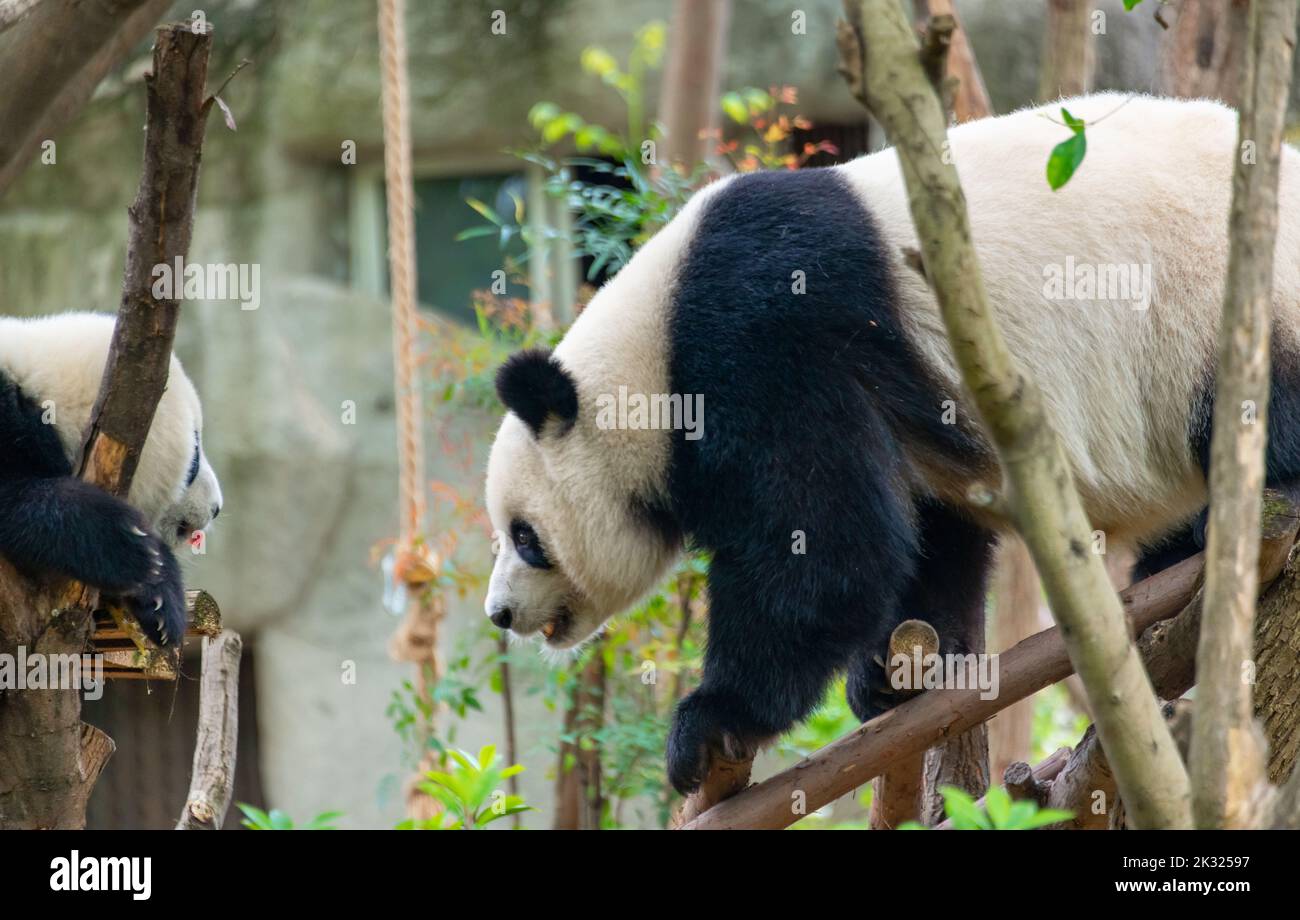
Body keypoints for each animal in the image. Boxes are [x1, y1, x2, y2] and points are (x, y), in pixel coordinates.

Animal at [483, 93, 1300, 794]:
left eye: (525, 537)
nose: (500, 614)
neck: (651, 351)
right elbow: (926, 532)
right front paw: (891, 675)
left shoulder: (764, 336)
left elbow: (829, 544)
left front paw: (710, 722)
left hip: (1227, 310)